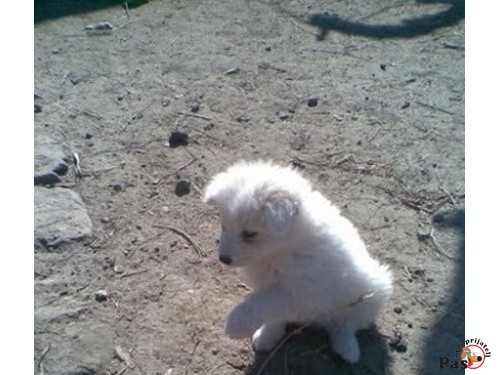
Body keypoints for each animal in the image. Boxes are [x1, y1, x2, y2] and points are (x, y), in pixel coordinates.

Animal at [201, 162, 392, 364]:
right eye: (223, 226)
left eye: (250, 234)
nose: (223, 258)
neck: (283, 248)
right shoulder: (274, 288)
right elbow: (273, 314)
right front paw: (267, 335)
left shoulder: (302, 292)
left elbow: (263, 302)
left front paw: (236, 323)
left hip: (372, 294)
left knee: (346, 324)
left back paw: (347, 348)